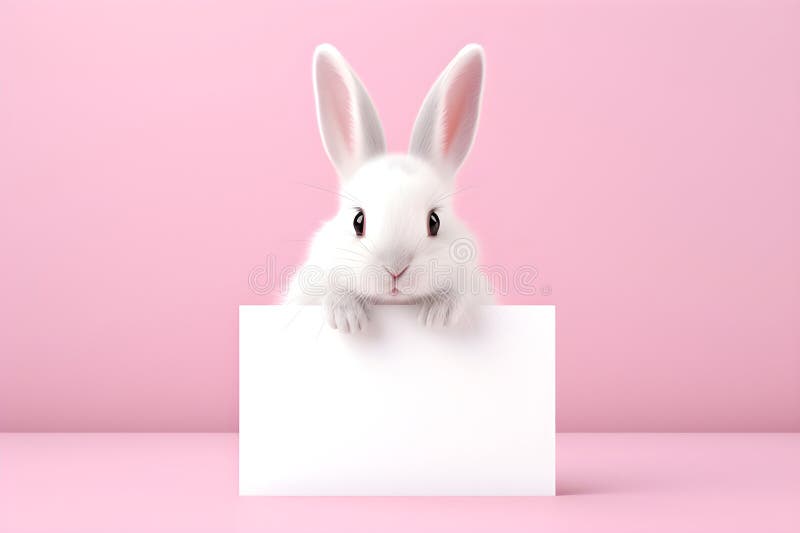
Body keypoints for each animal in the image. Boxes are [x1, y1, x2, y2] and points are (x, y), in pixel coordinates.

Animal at [286, 43, 492, 333]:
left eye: (435, 222)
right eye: (357, 221)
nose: (395, 269)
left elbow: (460, 294)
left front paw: (437, 315)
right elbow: (331, 290)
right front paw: (348, 319)